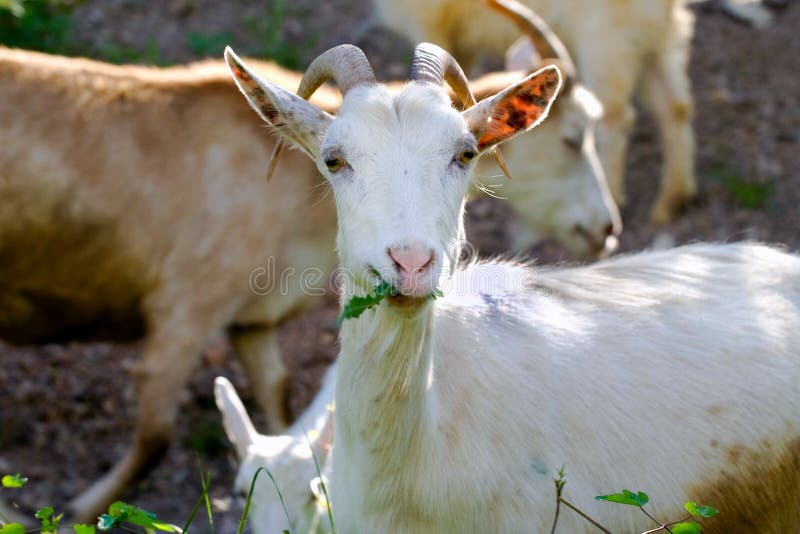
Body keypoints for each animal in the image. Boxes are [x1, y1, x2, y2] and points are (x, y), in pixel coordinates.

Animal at [373, 0, 697, 224]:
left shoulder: (431, 22)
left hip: (607, 40)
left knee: (617, 115)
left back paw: (615, 196)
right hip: (658, 36)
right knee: (675, 106)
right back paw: (671, 201)